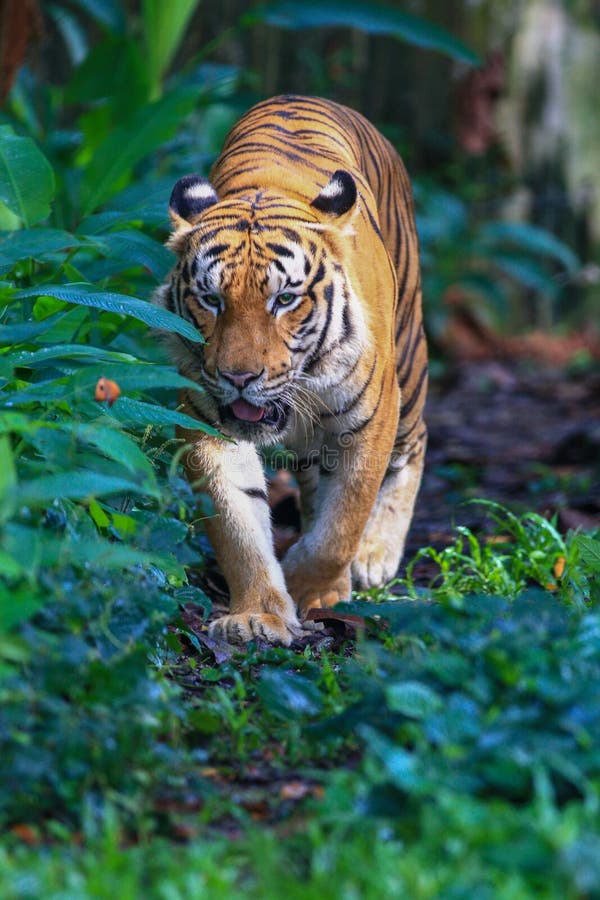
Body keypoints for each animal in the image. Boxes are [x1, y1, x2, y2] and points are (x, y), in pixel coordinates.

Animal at [155, 94, 428, 645]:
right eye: (211, 300)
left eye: (284, 300)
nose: (239, 377)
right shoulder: (207, 425)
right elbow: (237, 524)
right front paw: (258, 616)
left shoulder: (372, 419)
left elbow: (342, 522)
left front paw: (311, 587)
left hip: (408, 365)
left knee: (416, 443)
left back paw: (375, 557)